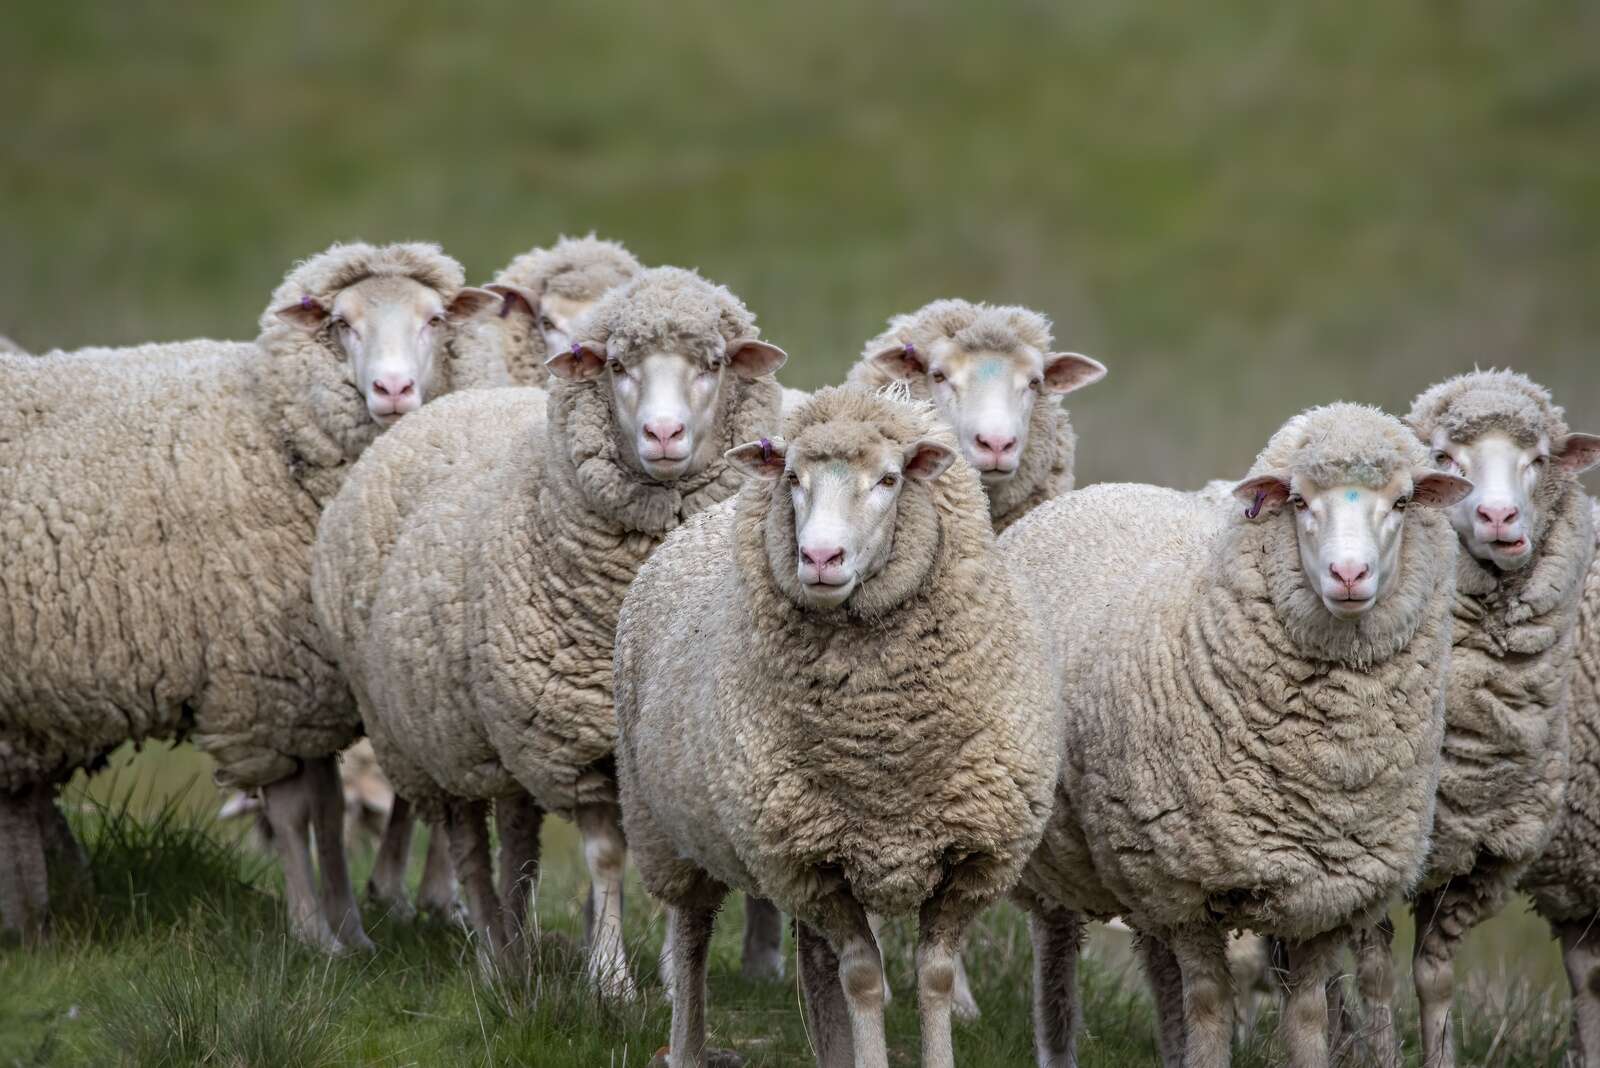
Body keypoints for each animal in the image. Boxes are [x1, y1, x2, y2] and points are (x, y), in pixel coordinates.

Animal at [0, 242, 498, 946]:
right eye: (341, 323)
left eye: (434, 319)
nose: (393, 390)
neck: (269, 426)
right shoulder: (262, 683)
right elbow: (291, 812)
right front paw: (316, 935)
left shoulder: (311, 687)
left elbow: (327, 808)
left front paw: (352, 930)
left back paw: (31, 918)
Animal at [311, 266, 786, 994]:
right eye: (617, 364)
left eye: (713, 364)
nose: (664, 434)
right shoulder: (575, 744)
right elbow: (607, 857)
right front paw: (612, 979)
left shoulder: (657, 748)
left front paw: (672, 976)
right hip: (434, 734)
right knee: (467, 842)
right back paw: (491, 952)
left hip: (495, 737)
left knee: (517, 836)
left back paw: (514, 944)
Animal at [615, 385, 1059, 1068]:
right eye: (792, 478)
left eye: (889, 479)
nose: (820, 557)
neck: (883, 748)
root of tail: (695, 525)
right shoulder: (810, 863)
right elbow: (862, 978)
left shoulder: (968, 857)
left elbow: (931, 977)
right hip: (669, 828)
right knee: (692, 934)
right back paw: (686, 1044)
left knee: (813, 964)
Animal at [1008, 403, 1471, 1068]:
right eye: (1299, 501)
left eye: (1403, 501)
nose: (1349, 573)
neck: (1331, 759)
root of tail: (1092, 492)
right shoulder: (1186, 885)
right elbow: (1208, 1008)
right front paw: (1200, 1050)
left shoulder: (1323, 897)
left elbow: (1307, 1018)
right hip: (1063, 852)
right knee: (1055, 944)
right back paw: (1058, 1044)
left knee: (1155, 961)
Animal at [1347, 370, 1598, 1068]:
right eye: (1444, 458)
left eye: (1537, 460)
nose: (1499, 518)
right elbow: (1373, 976)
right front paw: (1378, 1055)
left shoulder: (1472, 856)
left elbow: (1434, 977)